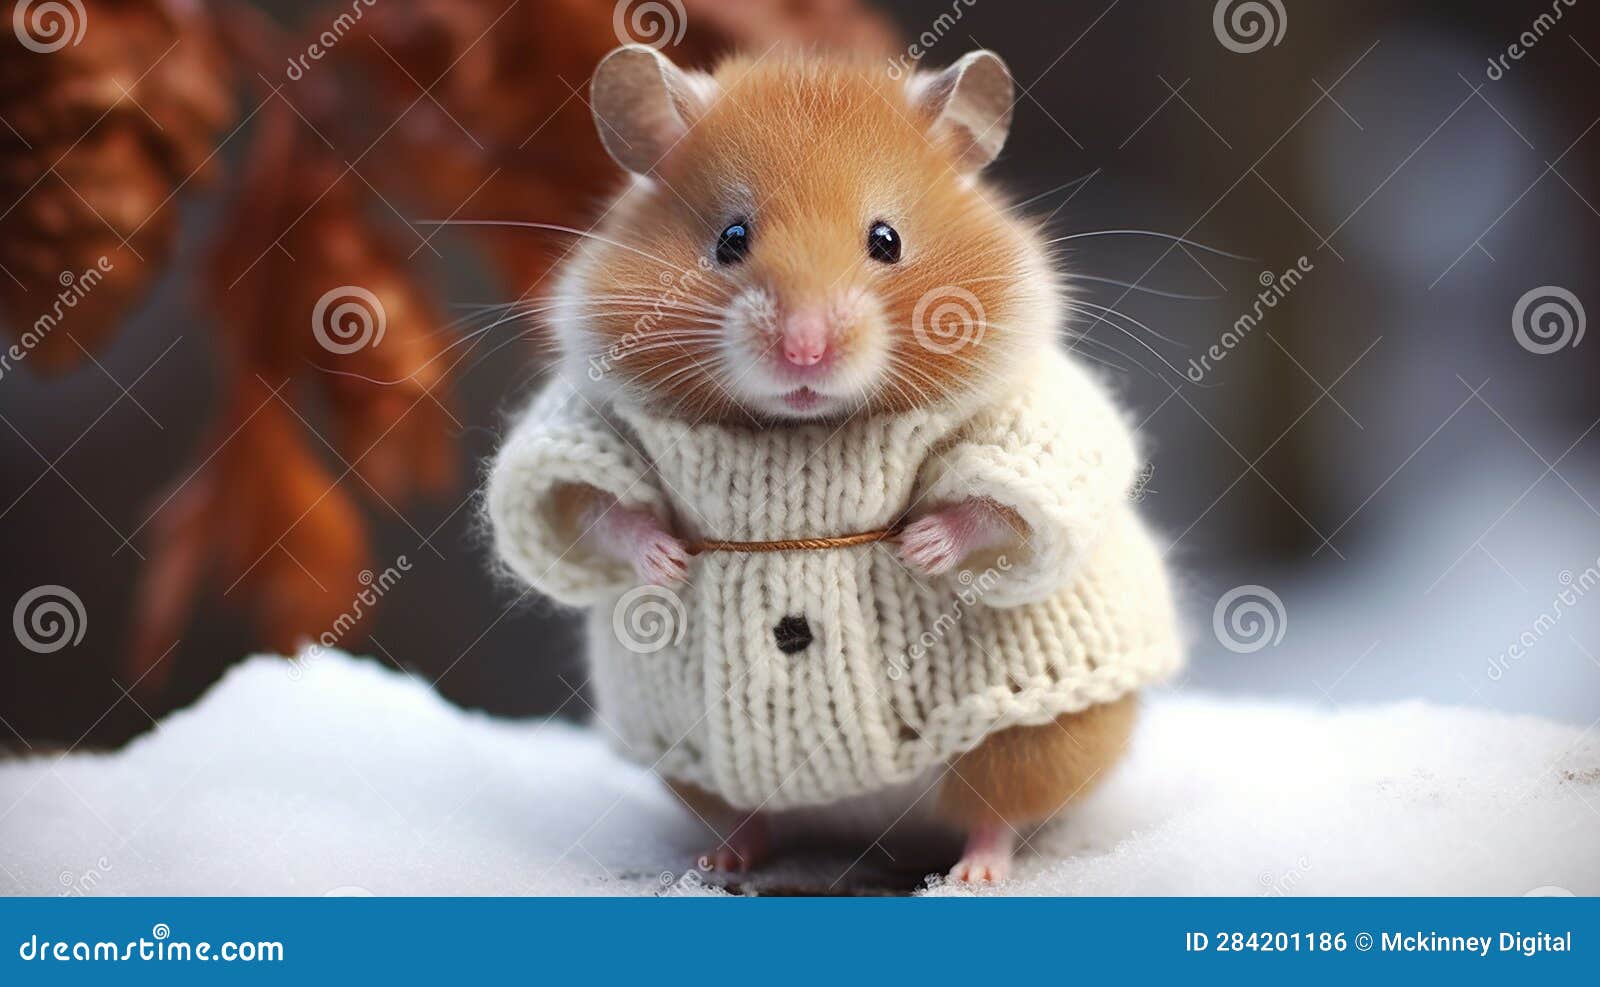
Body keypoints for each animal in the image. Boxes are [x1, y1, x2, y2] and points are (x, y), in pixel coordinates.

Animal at [486, 46, 1183, 884]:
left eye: (886, 239)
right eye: (730, 238)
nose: (804, 350)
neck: (803, 427)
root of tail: (872, 827)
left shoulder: (1027, 425)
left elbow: (995, 503)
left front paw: (920, 547)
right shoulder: (585, 425)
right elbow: (599, 507)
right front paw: (667, 559)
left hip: (1030, 729)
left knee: (995, 809)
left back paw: (973, 873)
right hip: (695, 766)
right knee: (750, 814)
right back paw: (725, 855)